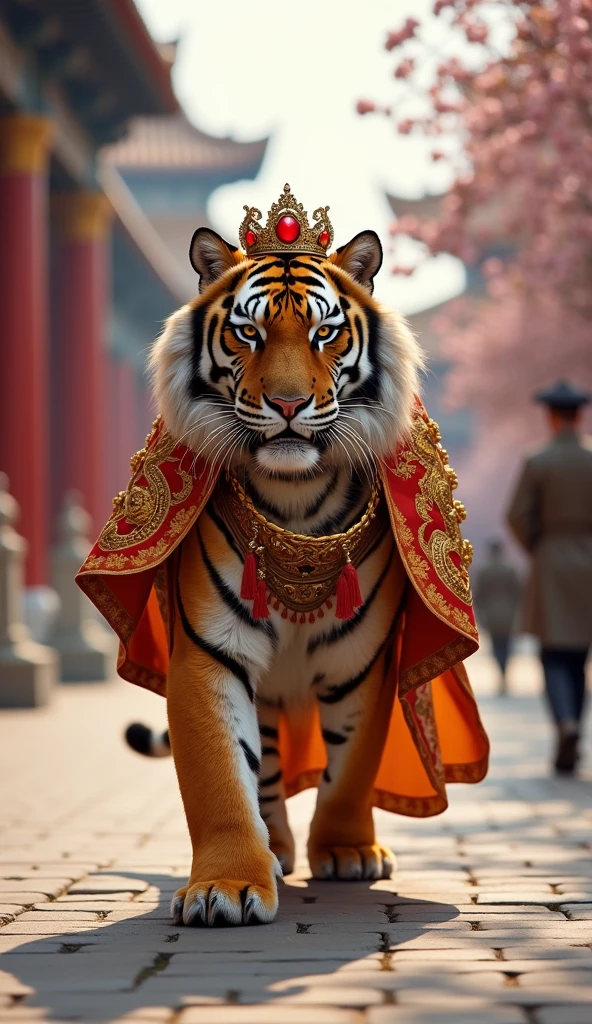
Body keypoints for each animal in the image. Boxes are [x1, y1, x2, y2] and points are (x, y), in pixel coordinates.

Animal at [127, 222, 423, 927]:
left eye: (324, 333)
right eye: (248, 333)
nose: (288, 403)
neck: (297, 499)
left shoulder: (364, 660)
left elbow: (350, 768)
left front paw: (347, 851)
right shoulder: (210, 653)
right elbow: (224, 778)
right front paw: (228, 886)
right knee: (264, 776)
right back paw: (277, 852)